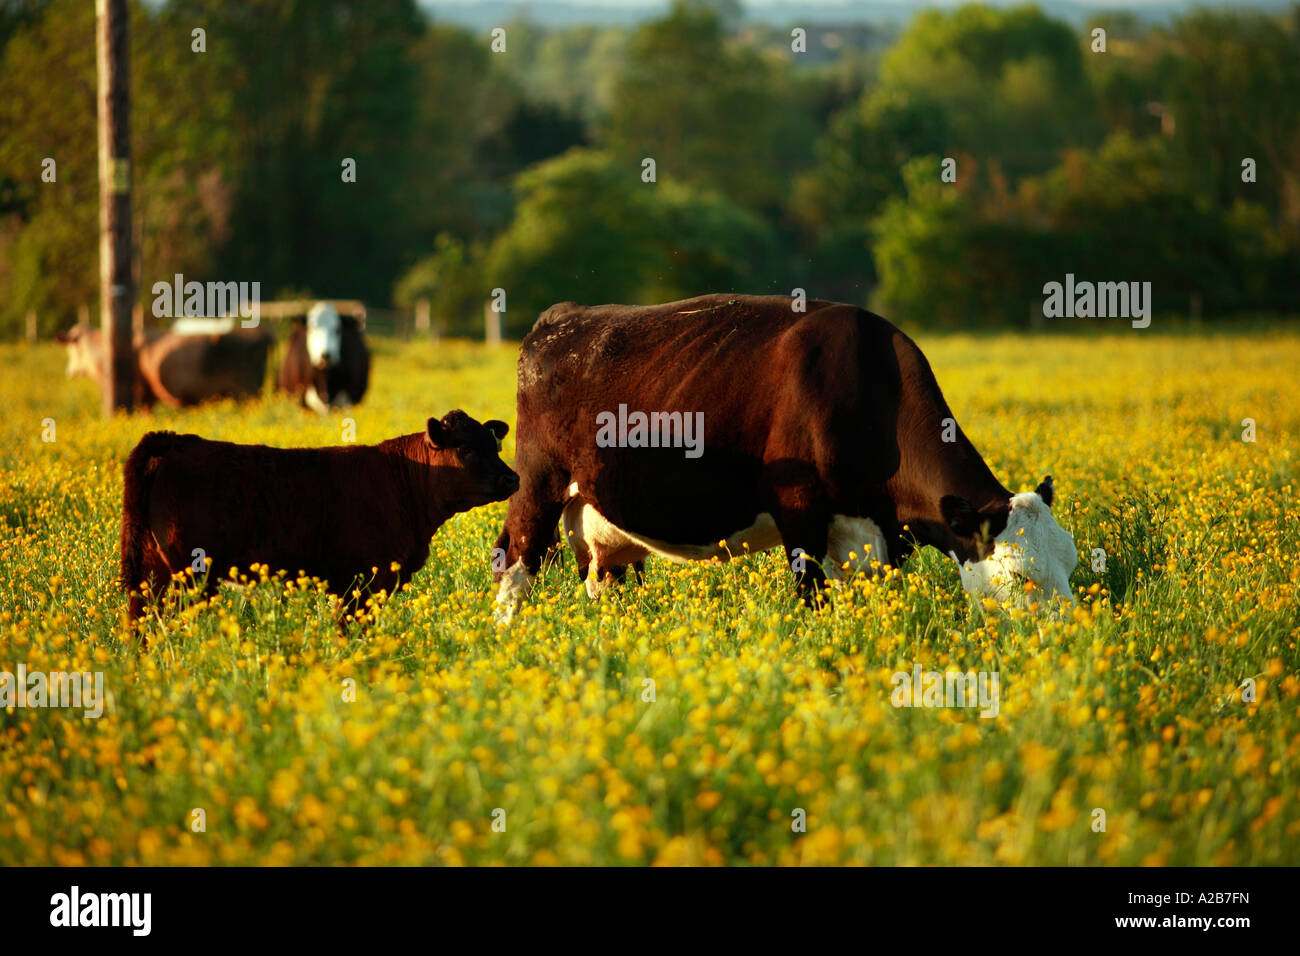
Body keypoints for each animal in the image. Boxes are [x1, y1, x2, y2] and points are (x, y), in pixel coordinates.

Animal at [120, 411, 516, 629]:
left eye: (495, 445)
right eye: (465, 448)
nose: (512, 478)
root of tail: (172, 441)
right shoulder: (363, 583)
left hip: (152, 573)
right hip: (188, 576)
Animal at [492, 293, 1078, 624]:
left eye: (1072, 563)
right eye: (1022, 576)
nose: (1068, 634)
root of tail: (562, 318)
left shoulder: (877, 537)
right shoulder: (800, 513)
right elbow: (811, 601)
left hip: (601, 525)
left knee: (604, 586)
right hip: (537, 488)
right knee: (514, 573)